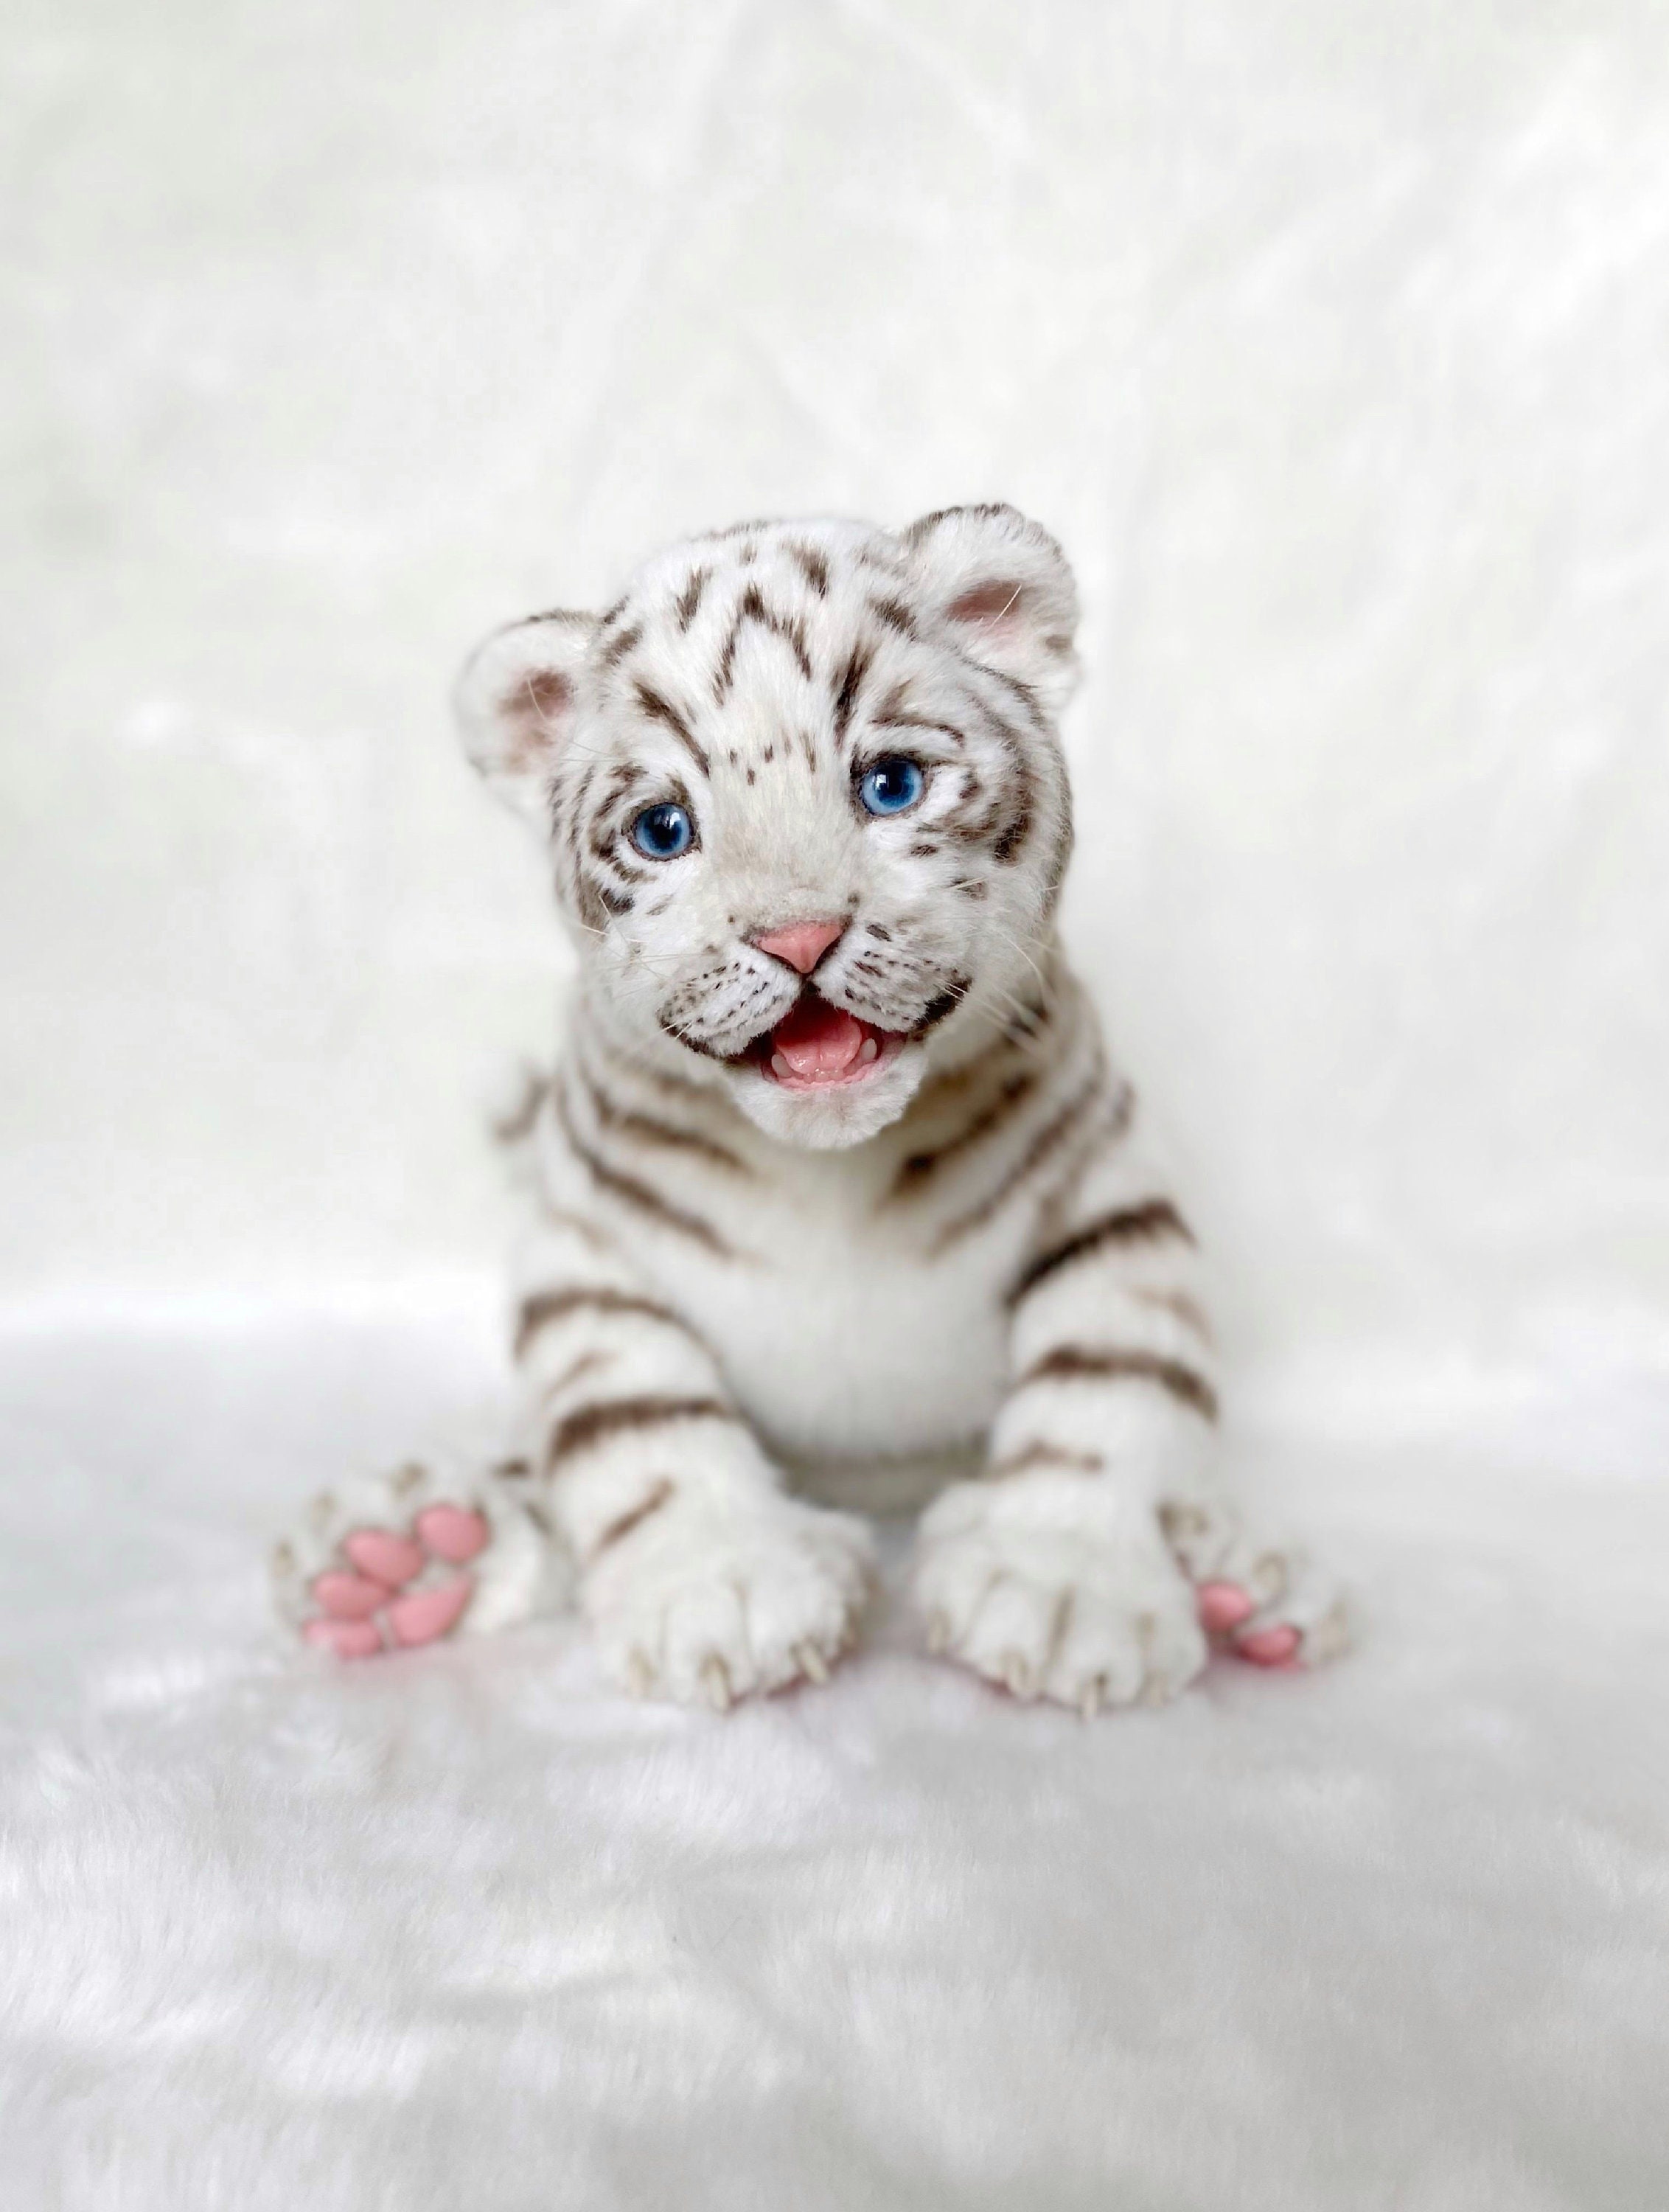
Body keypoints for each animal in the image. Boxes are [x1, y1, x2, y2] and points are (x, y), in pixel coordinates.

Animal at [271, 503, 1348, 1713]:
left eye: (890, 785)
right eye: (663, 829)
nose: (798, 938)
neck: (830, 1170)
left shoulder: (1109, 1205)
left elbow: (1108, 1386)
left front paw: (1063, 1586)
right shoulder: (589, 1255)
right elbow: (636, 1418)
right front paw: (728, 1588)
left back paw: (1244, 1584)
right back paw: (405, 1556)